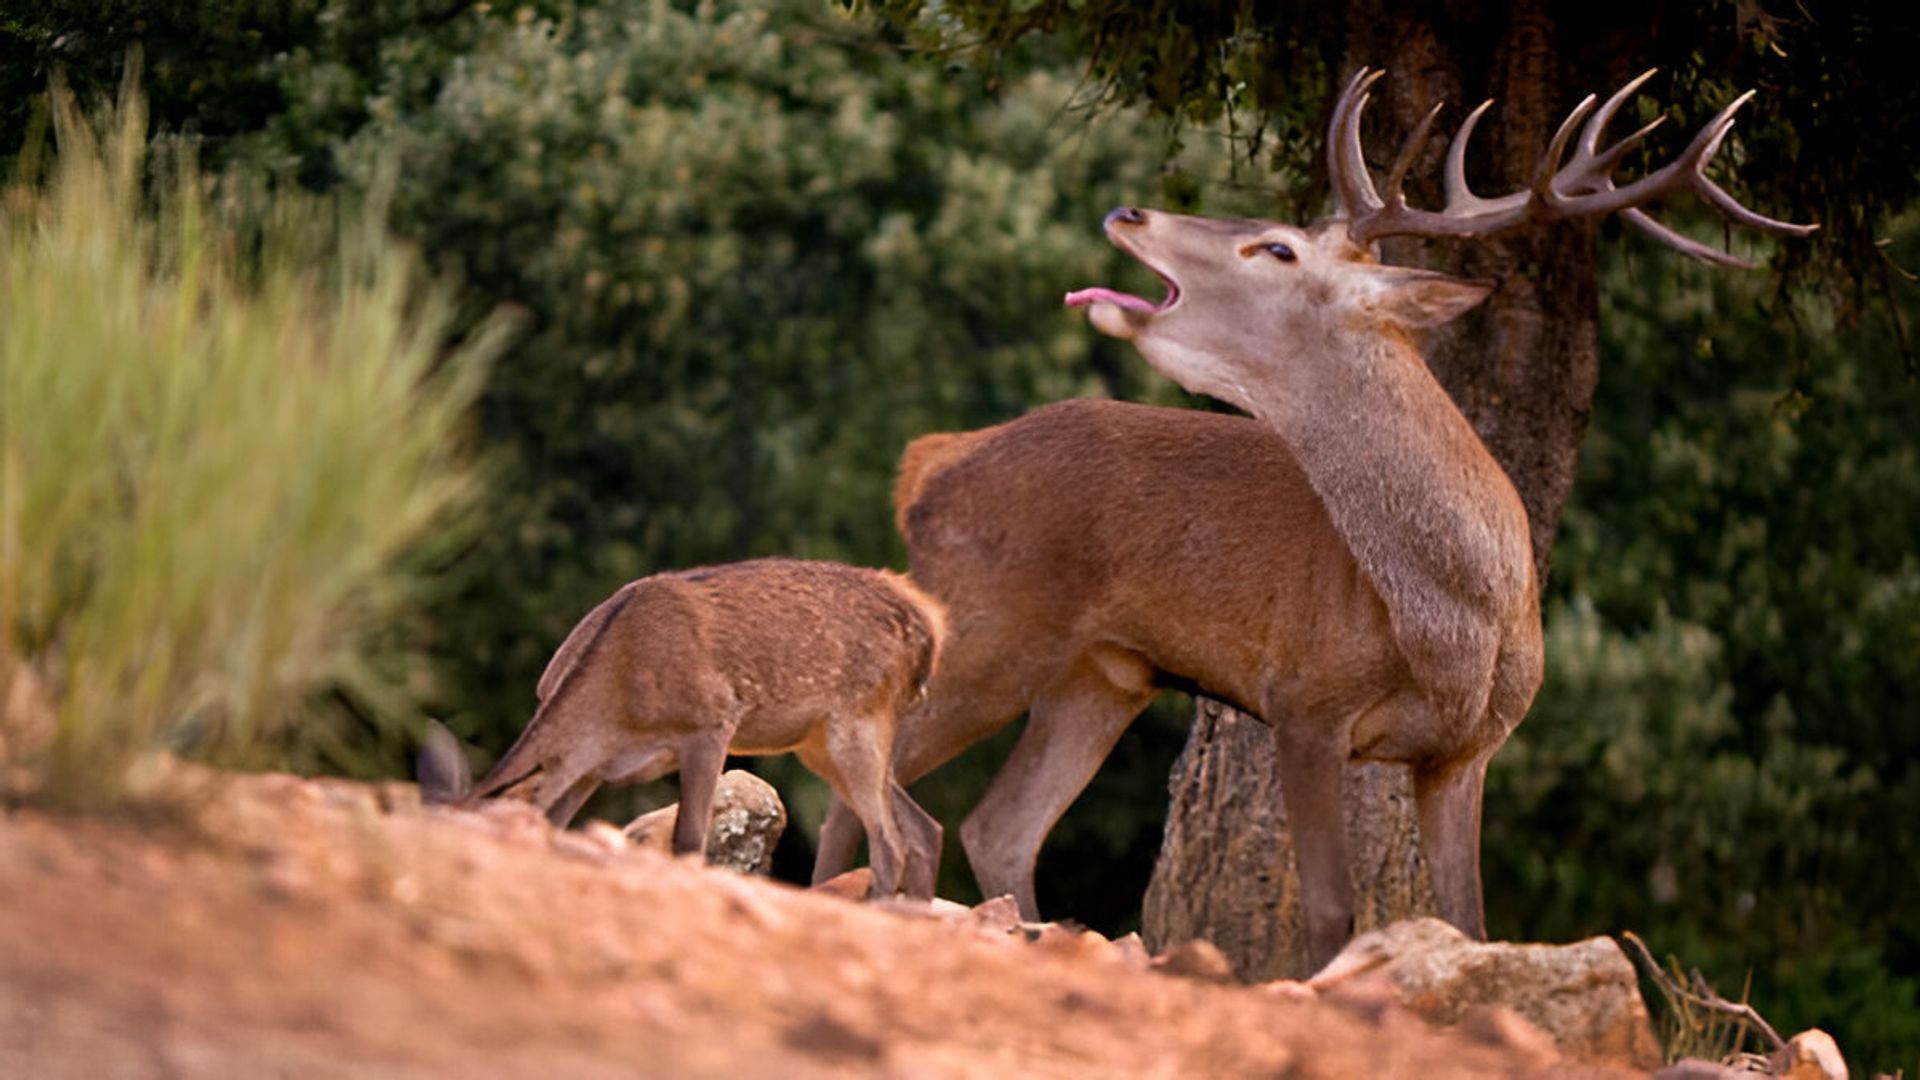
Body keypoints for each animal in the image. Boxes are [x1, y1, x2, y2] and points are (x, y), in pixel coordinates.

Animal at [421, 557, 949, 899]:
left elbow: (689, 841)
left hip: (858, 723)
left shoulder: (712, 723)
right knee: (924, 830)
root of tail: (931, 630)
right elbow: (555, 822)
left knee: (890, 845)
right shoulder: (590, 768)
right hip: (819, 743)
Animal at [812, 68, 1814, 967]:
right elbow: (1333, 910)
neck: (1457, 618)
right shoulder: (1304, 700)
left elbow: (1469, 923)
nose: (1128, 213)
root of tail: (927, 463)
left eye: (1278, 249)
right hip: (990, 624)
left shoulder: (1467, 751)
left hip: (1100, 674)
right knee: (862, 782)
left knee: (998, 823)